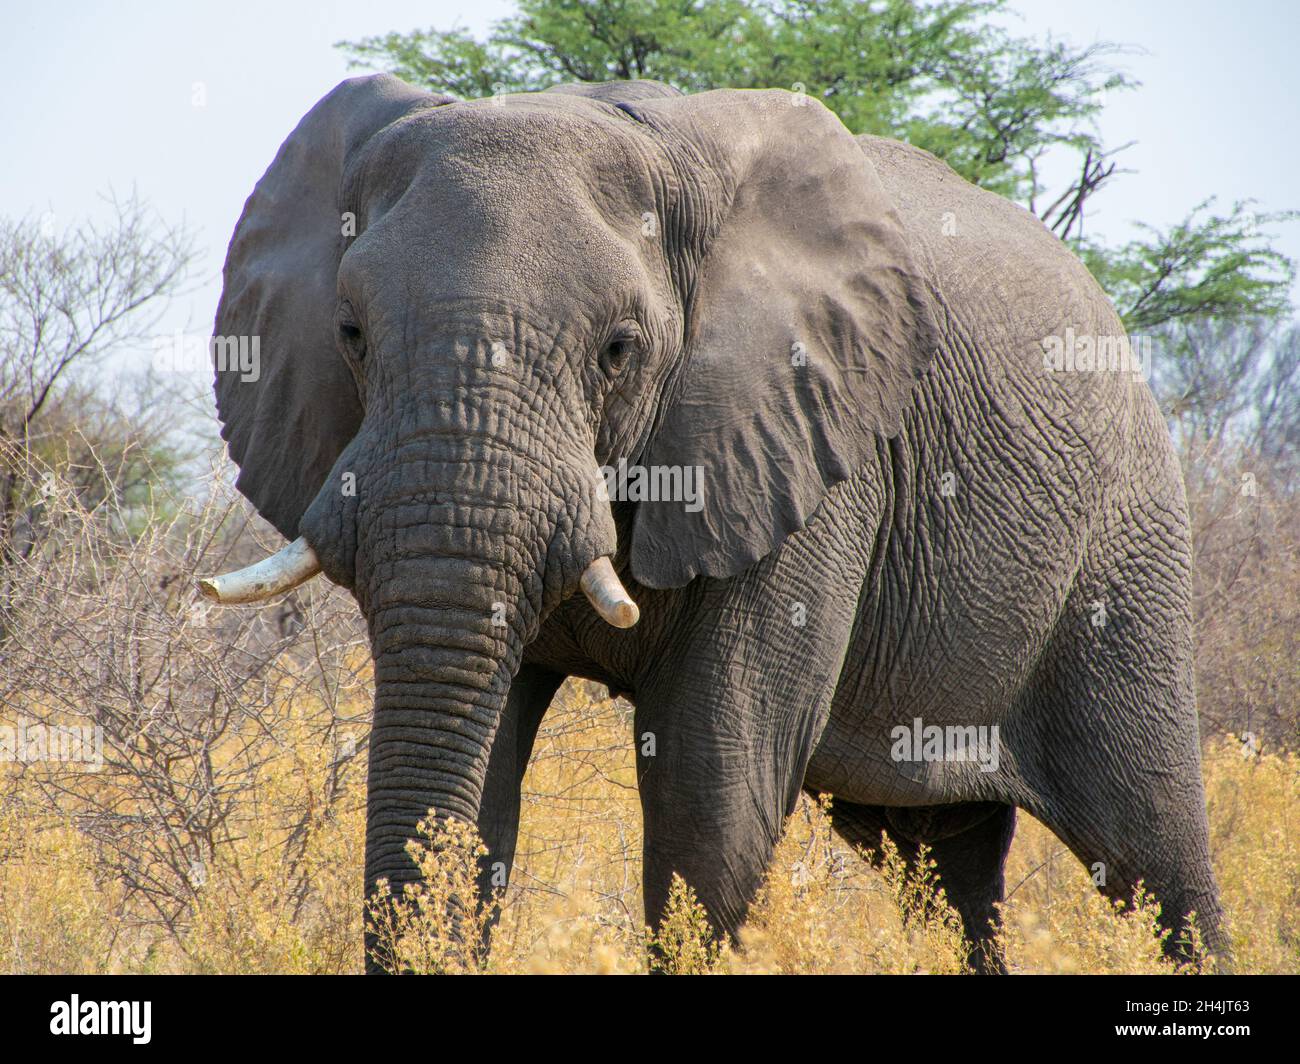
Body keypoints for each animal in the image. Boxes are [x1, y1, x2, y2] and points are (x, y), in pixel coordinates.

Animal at [200, 73, 1228, 973]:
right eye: (350, 334)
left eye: (619, 349)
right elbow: (477, 779)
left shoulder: (809, 447)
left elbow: (712, 796)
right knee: (942, 871)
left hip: (1125, 550)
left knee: (1155, 857)